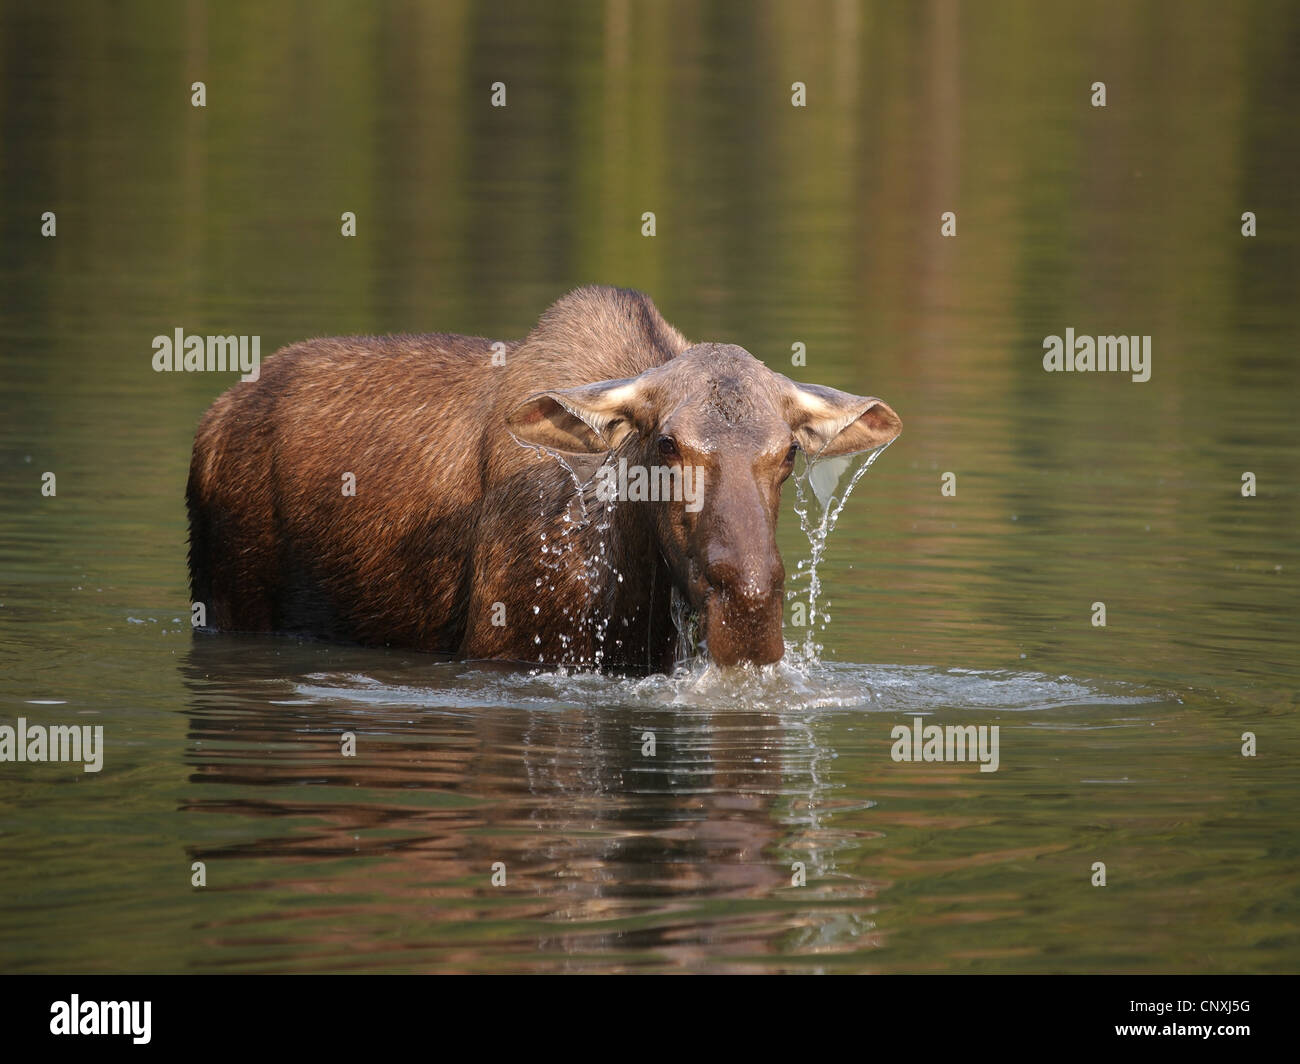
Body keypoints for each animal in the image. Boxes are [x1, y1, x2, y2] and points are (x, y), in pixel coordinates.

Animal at [188, 288, 899, 671]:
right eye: (666, 443)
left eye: (788, 454)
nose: (749, 610)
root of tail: (212, 420)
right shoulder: (501, 648)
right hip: (227, 599)